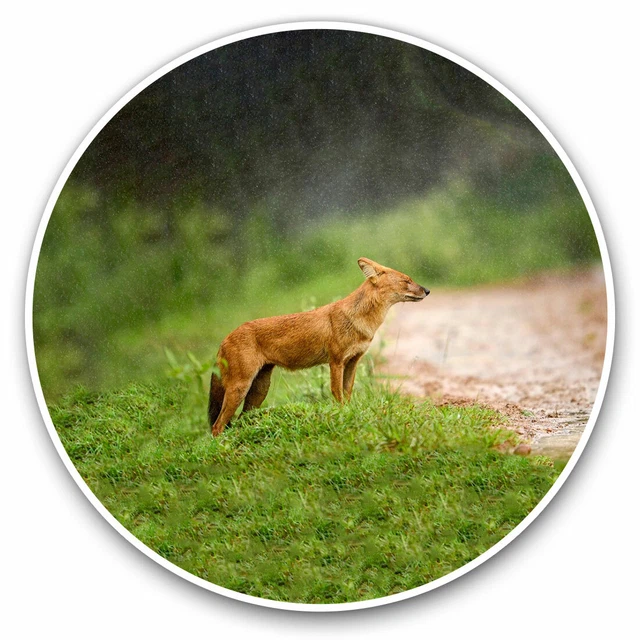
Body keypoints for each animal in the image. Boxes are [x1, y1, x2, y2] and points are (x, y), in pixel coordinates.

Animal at [208, 257, 429, 436]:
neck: (361, 320)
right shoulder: (336, 361)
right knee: (217, 426)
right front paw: (342, 416)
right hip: (240, 387)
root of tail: (223, 340)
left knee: (240, 420)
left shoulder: (353, 362)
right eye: (406, 280)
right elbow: (337, 394)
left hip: (259, 389)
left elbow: (347, 393)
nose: (427, 290)